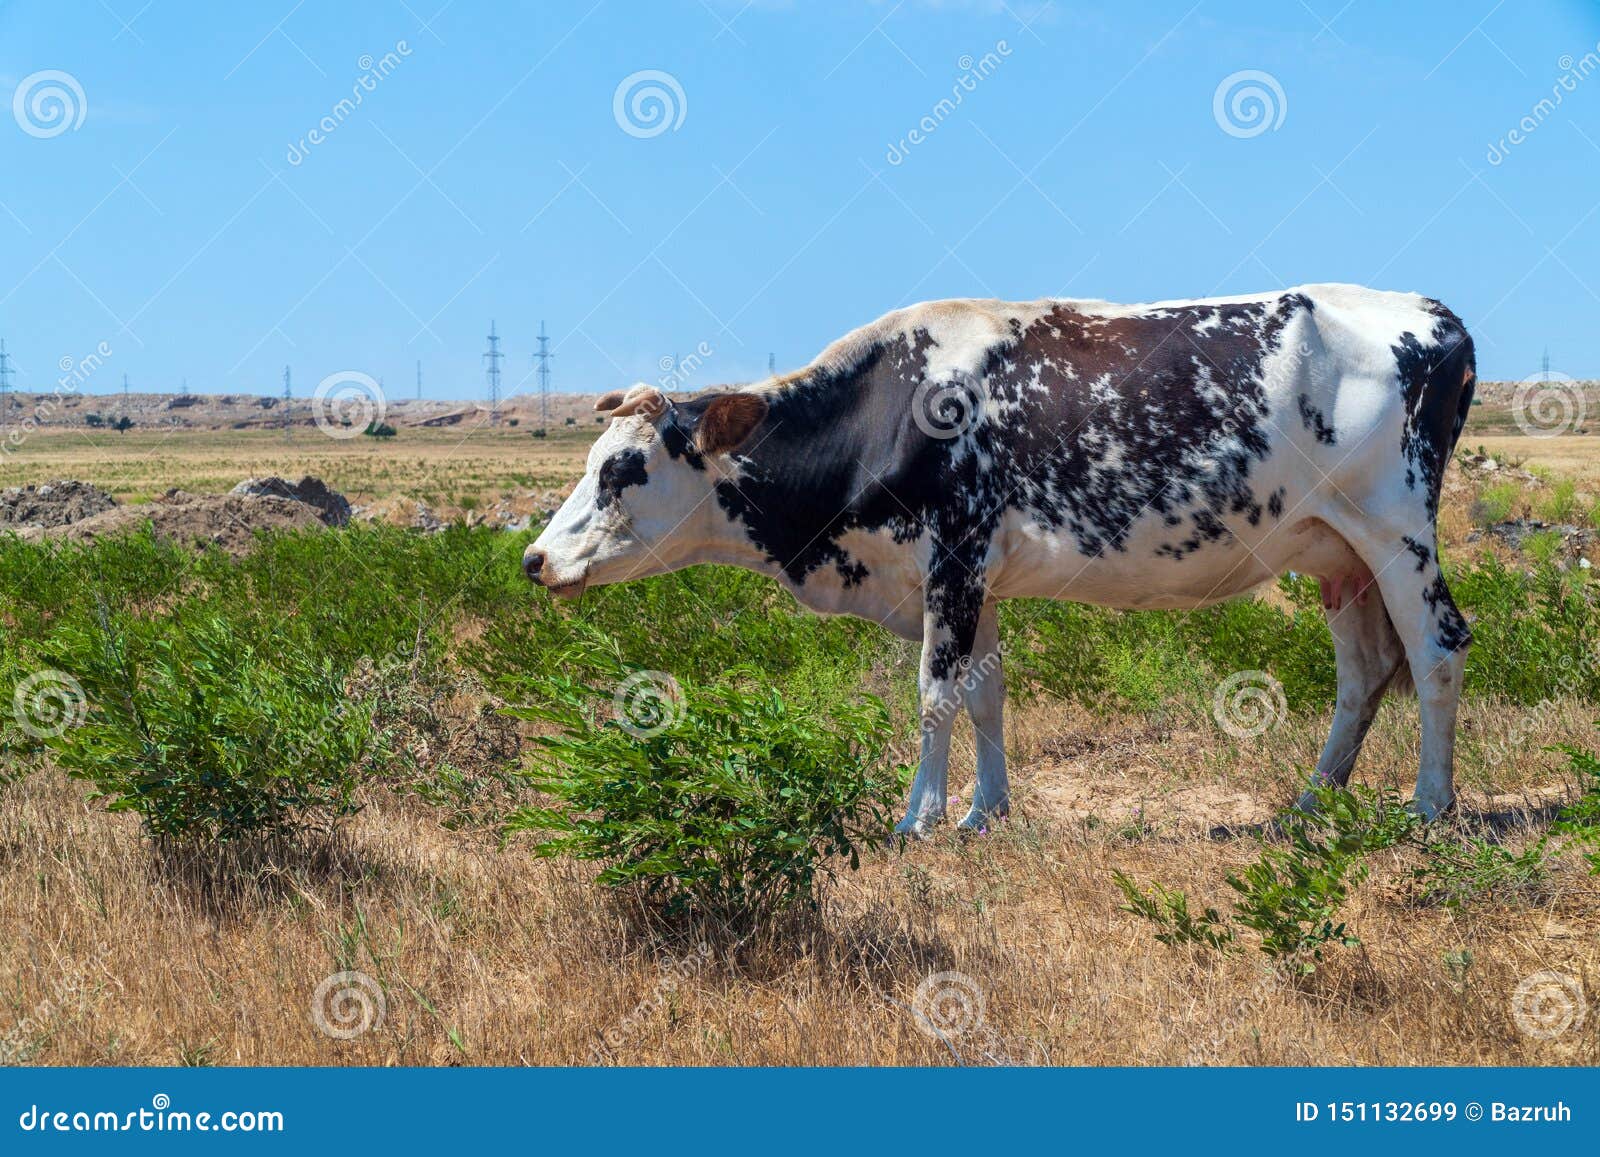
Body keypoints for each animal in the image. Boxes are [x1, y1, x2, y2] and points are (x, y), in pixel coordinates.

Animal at [523, 284, 1477, 837]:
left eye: (621, 468)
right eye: (590, 458)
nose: (533, 558)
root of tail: (1431, 311)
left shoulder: (956, 554)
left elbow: (935, 694)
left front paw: (919, 818)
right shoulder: (970, 579)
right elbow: (987, 693)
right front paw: (986, 812)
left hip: (1397, 530)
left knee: (1437, 649)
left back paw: (1429, 805)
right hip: (1336, 550)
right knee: (1364, 670)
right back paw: (1313, 802)